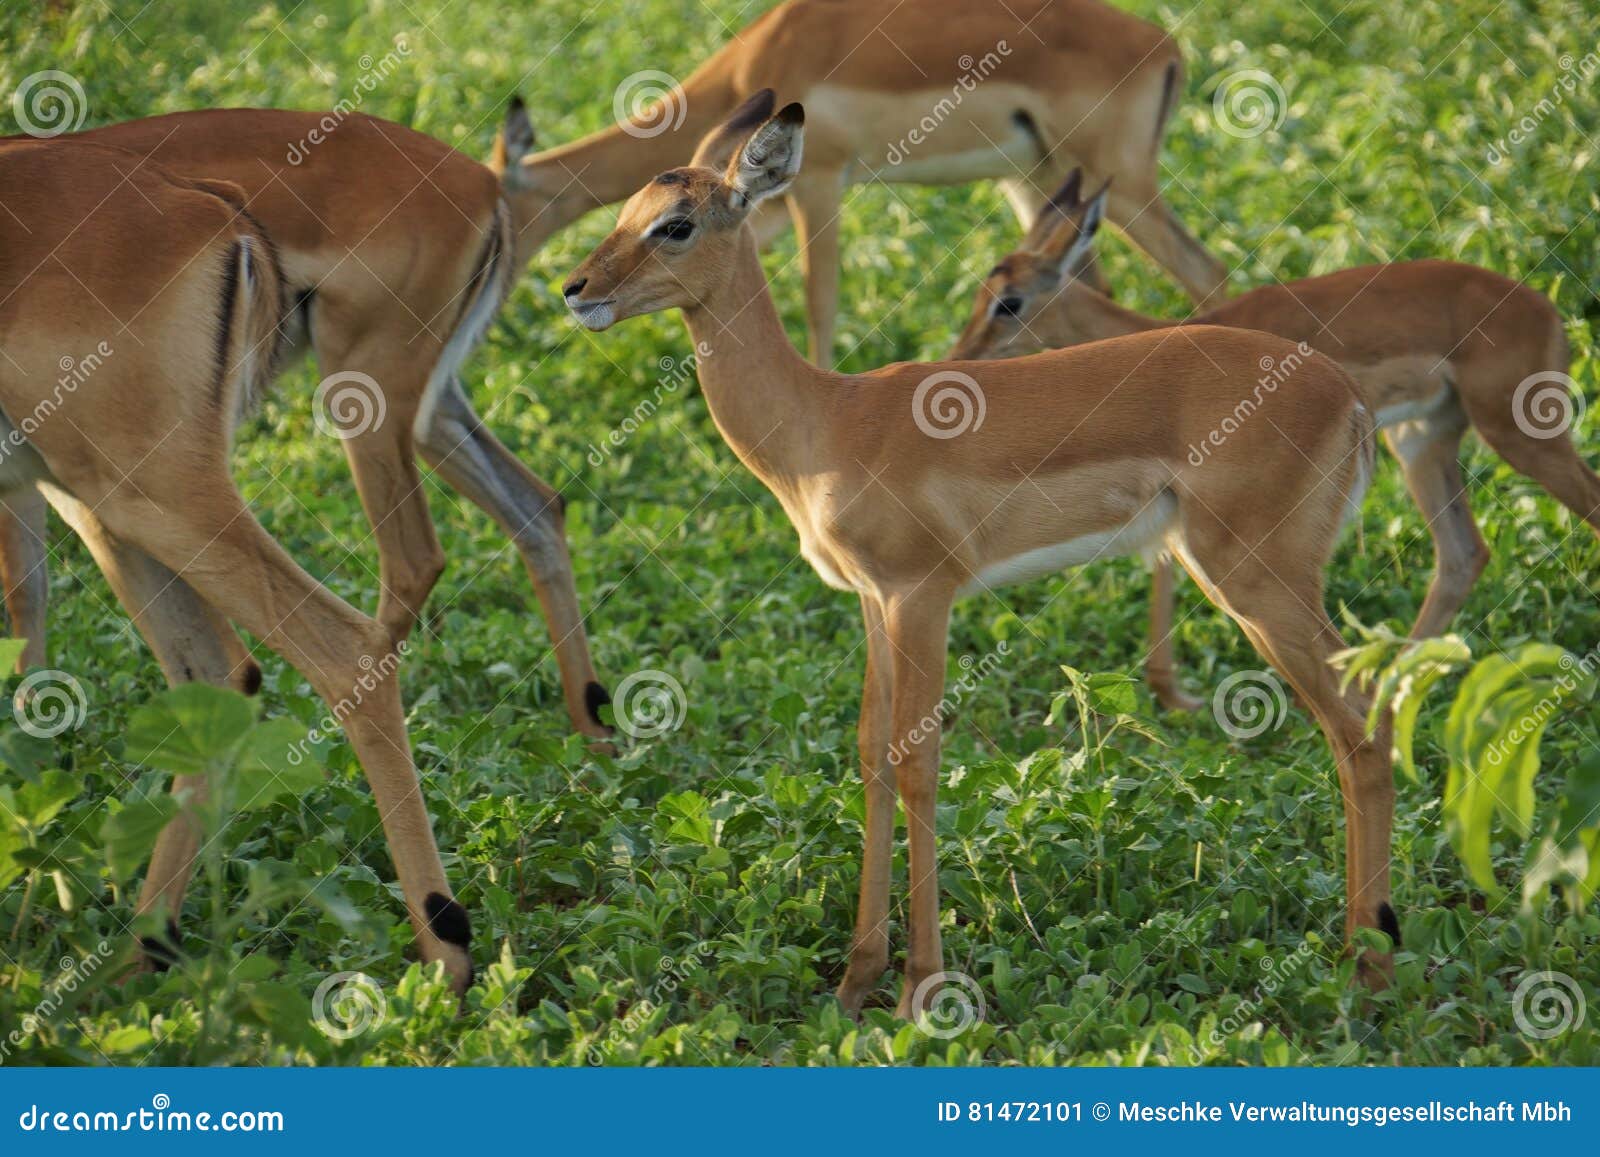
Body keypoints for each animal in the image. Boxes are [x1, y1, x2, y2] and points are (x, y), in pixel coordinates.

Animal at [0, 108, 611, 743]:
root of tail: (483, 184)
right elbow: (28, 585)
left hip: (333, 410)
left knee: (404, 571)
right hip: (423, 411)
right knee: (536, 507)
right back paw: (595, 735)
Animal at [0, 137, 473, 993]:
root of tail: (218, 216)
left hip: (146, 495)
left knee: (344, 646)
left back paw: (444, 957)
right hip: (105, 504)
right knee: (224, 672)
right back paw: (133, 964)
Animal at [490, 0, 1227, 365]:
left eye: (498, 221)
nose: (571, 291)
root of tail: (1167, 48)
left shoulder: (820, 180)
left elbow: (821, 301)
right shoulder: (768, 203)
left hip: (1123, 187)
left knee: (1210, 274)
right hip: (1040, 182)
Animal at [561, 92, 1397, 1017]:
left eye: (675, 223)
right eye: (625, 212)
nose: (576, 291)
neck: (826, 422)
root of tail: (1347, 397)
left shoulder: (922, 596)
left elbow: (917, 760)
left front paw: (921, 988)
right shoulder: (871, 601)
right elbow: (869, 754)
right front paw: (856, 981)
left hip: (1258, 580)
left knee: (1361, 723)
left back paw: (1366, 968)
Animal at [950, 171, 1600, 712]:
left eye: (1009, 303)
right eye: (978, 296)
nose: (961, 358)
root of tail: (1549, 310)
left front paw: (1176, 697)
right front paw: (1171, 693)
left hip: (1520, 435)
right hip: (1422, 443)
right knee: (1464, 554)